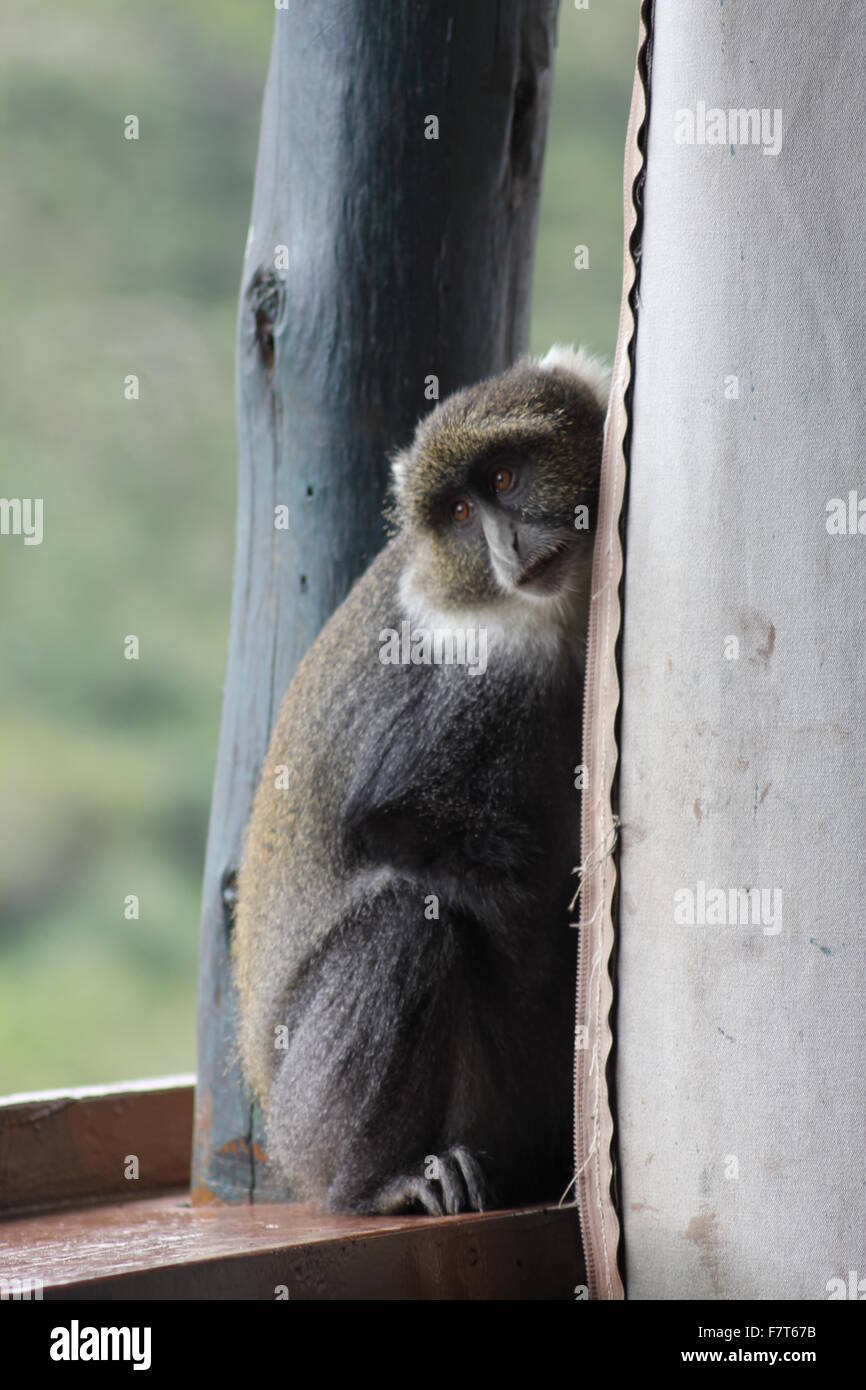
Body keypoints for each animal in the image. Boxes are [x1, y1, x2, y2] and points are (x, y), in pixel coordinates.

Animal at [232, 344, 608, 1216]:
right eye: (462, 515)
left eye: (504, 478)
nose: (507, 548)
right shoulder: (479, 680)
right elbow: (392, 828)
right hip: (314, 1114)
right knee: (407, 920)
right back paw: (385, 1184)